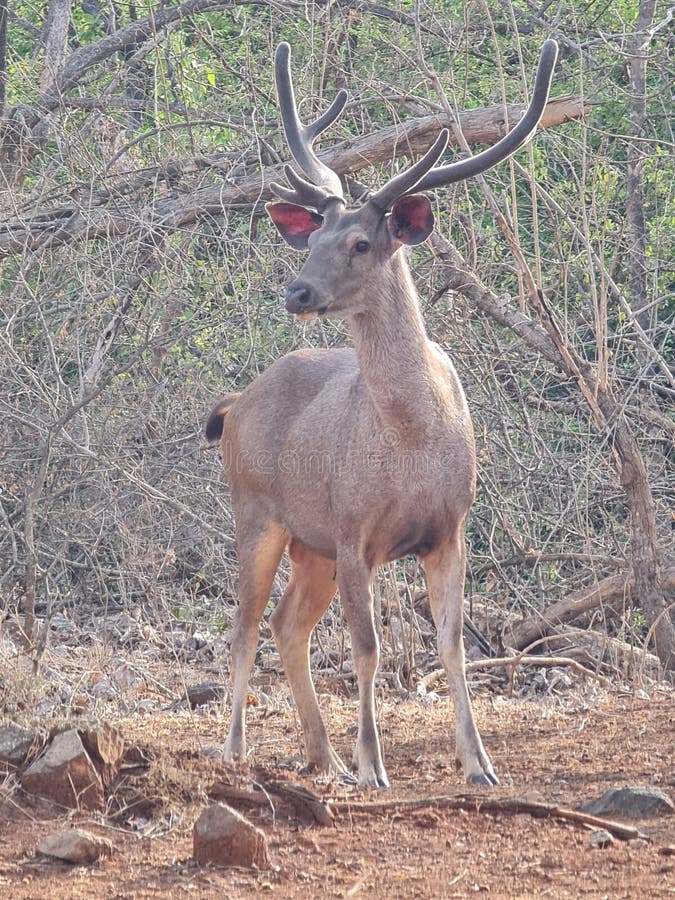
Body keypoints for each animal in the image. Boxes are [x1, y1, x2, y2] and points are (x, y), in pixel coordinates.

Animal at [206, 40, 558, 788]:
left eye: (360, 244)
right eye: (313, 240)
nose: (296, 291)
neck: (413, 439)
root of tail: (235, 403)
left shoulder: (450, 529)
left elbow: (452, 646)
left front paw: (478, 763)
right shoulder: (352, 530)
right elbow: (366, 649)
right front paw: (374, 765)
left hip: (308, 544)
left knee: (286, 626)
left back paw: (325, 757)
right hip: (258, 512)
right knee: (246, 627)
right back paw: (237, 746)